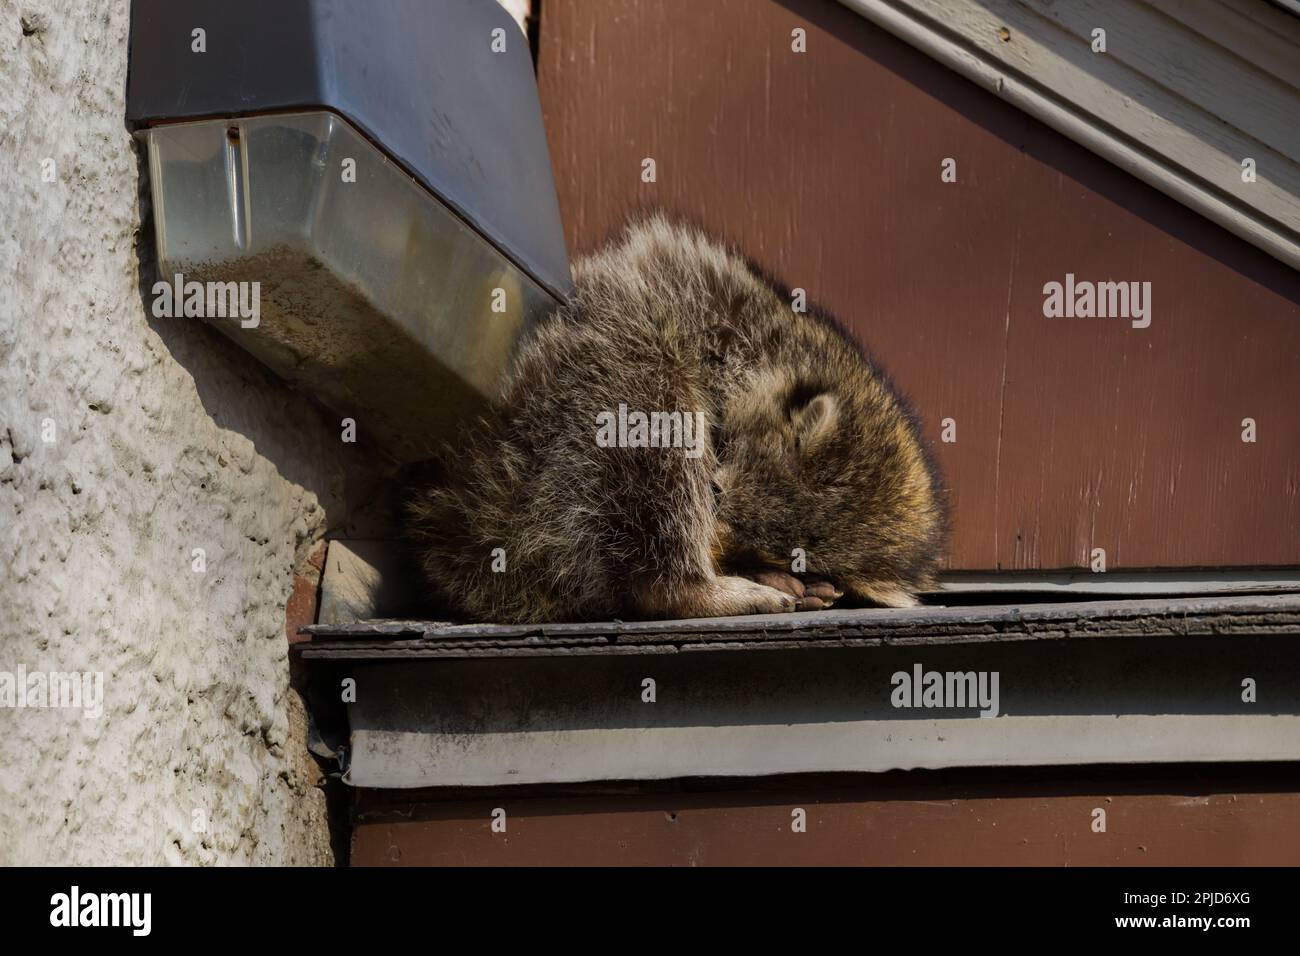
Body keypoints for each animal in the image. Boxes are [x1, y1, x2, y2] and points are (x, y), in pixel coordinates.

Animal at [408, 217, 946, 623]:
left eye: (762, 550)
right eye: (717, 494)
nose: (718, 553)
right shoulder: (695, 295)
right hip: (544, 432)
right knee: (649, 400)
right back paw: (678, 585)